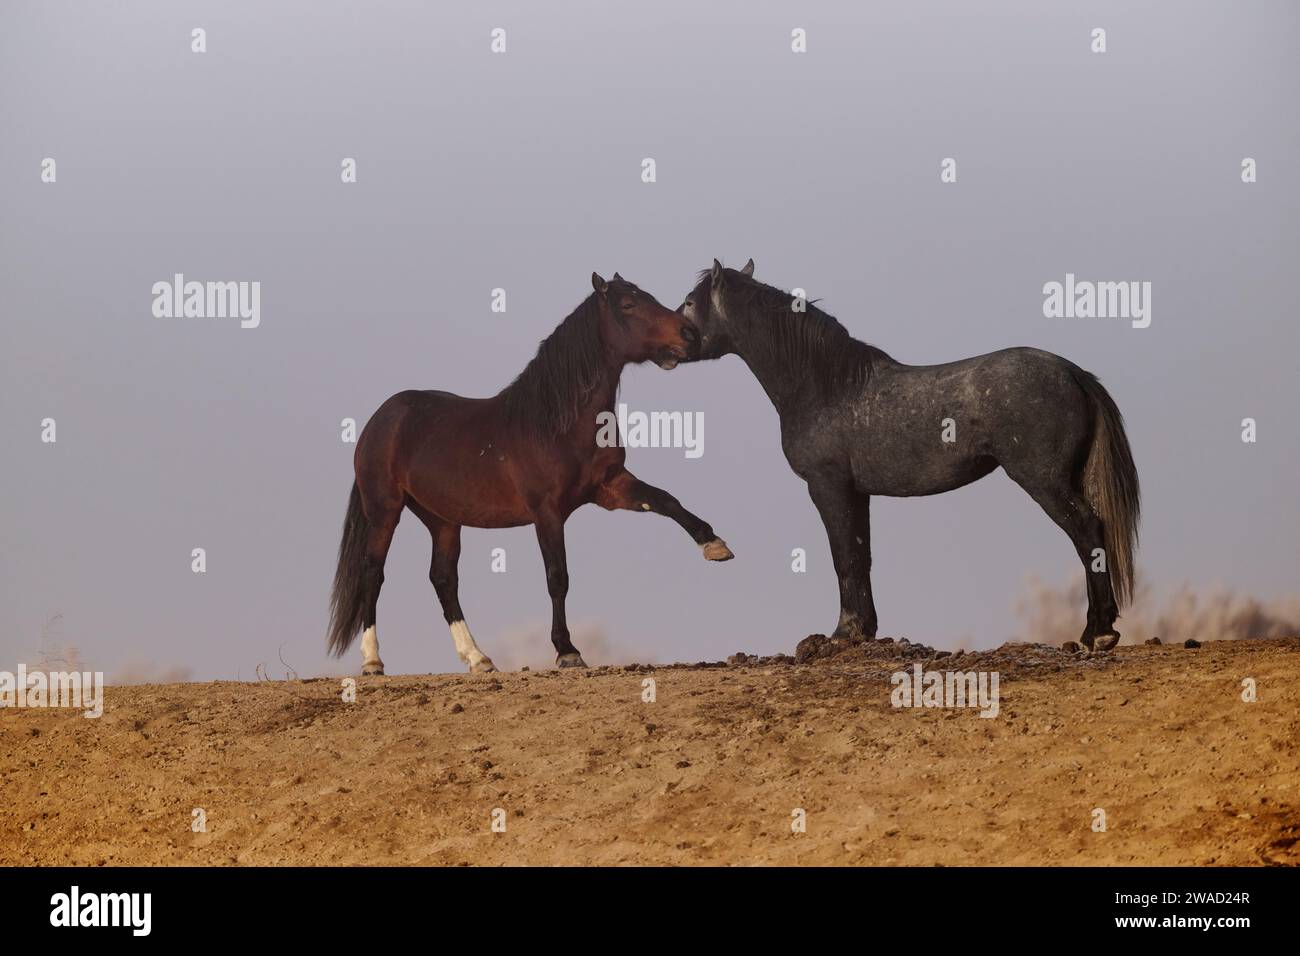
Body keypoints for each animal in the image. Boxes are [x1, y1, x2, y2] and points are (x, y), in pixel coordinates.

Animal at [327, 272, 734, 675]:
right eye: (629, 304)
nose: (689, 334)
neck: (556, 424)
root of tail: (380, 419)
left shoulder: (611, 488)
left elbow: (666, 500)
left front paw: (714, 544)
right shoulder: (547, 512)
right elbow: (558, 577)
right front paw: (567, 650)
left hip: (442, 520)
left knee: (443, 579)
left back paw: (478, 658)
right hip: (385, 511)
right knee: (373, 573)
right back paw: (373, 661)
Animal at [678, 259, 1139, 652]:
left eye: (689, 302)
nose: (671, 344)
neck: (827, 386)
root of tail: (1073, 373)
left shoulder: (827, 487)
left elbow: (843, 557)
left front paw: (842, 633)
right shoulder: (856, 493)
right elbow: (861, 555)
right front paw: (863, 630)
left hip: (1044, 480)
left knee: (1087, 532)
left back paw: (1097, 633)